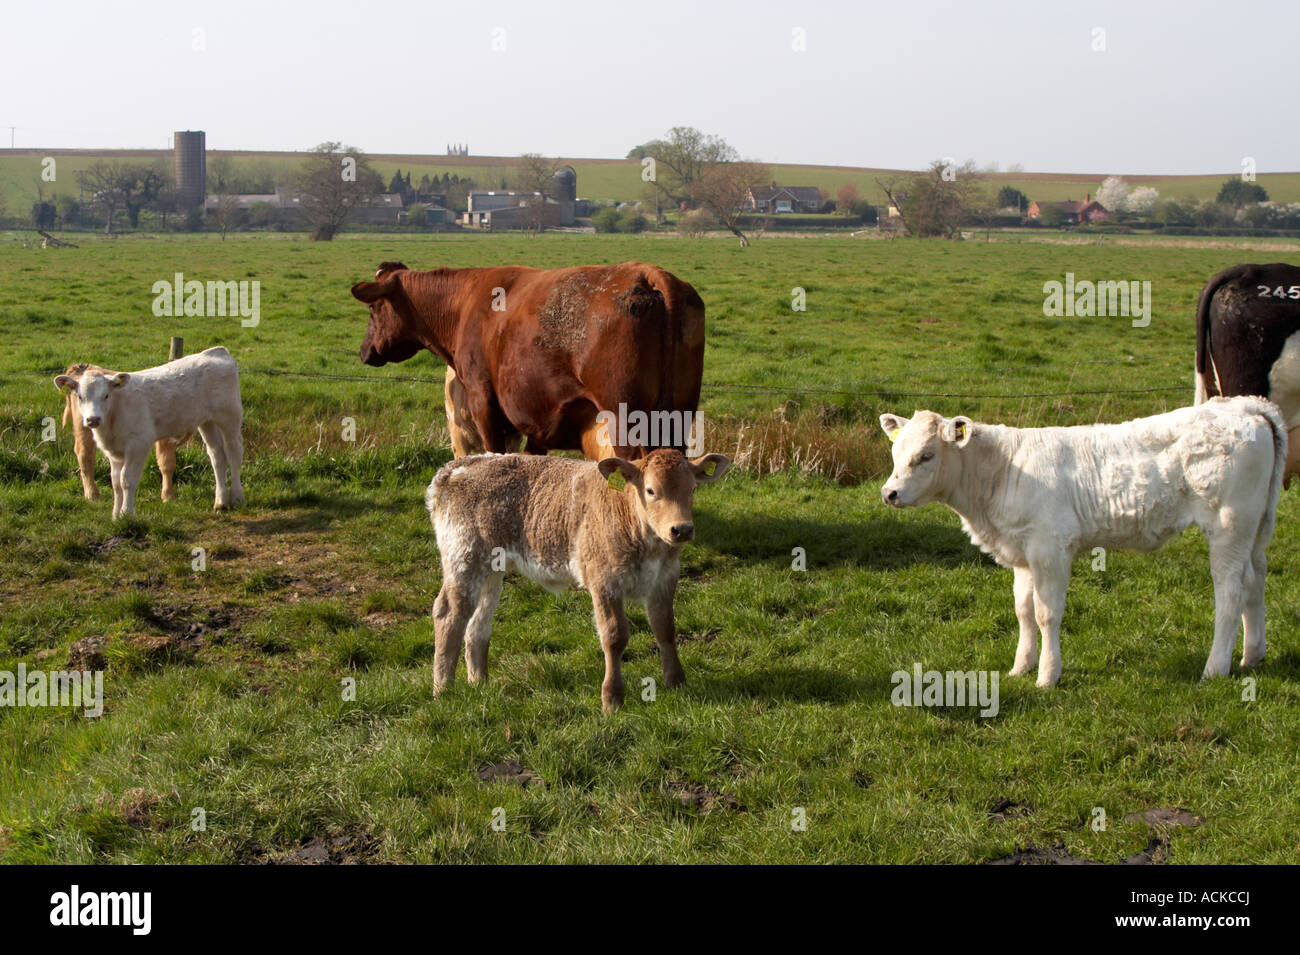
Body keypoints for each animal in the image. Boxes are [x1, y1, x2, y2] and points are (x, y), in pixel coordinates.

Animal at [60, 363, 194, 503]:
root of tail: (84, 367)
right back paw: (92, 494)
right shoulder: (165, 438)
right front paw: (168, 496)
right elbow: (167, 463)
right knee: (85, 456)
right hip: (84, 428)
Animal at [352, 261, 706, 461]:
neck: (464, 302)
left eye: (373, 309)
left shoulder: (483, 400)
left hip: (626, 420)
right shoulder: (537, 421)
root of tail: (645, 273)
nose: (364, 351)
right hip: (678, 415)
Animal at [425, 448, 730, 712]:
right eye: (651, 490)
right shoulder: (604, 580)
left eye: (692, 489)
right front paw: (612, 699)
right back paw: (444, 689)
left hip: (491, 570)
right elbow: (614, 636)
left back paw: (479, 683)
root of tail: (460, 465)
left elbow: (665, 629)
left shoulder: (665, 579)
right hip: (464, 556)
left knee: (478, 623)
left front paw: (677, 682)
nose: (682, 529)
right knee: (449, 614)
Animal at [879, 397, 1285, 687]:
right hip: (1256, 528)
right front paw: (1020, 667)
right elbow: (1023, 610)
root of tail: (1243, 405)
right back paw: (1252, 656)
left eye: (926, 455)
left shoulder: (1050, 548)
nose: (889, 493)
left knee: (1231, 591)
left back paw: (1215, 668)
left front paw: (1047, 675)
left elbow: (1046, 613)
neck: (1000, 471)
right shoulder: (1023, 552)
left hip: (1229, 525)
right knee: (1256, 580)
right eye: (896, 453)